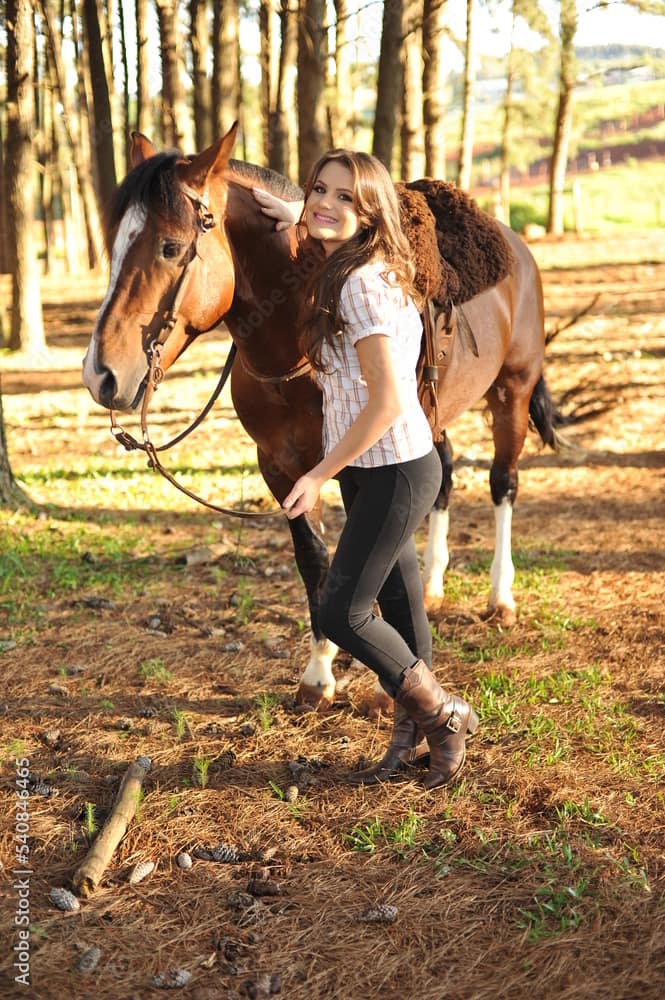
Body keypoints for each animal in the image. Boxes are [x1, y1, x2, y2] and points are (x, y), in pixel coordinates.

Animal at [82, 123, 556, 710]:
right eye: (114, 247)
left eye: (170, 247)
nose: (100, 374)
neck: (303, 327)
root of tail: (517, 248)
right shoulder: (280, 468)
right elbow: (315, 561)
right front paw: (318, 675)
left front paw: (384, 682)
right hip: (434, 418)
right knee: (443, 477)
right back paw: (433, 585)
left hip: (512, 393)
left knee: (502, 485)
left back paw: (500, 596)